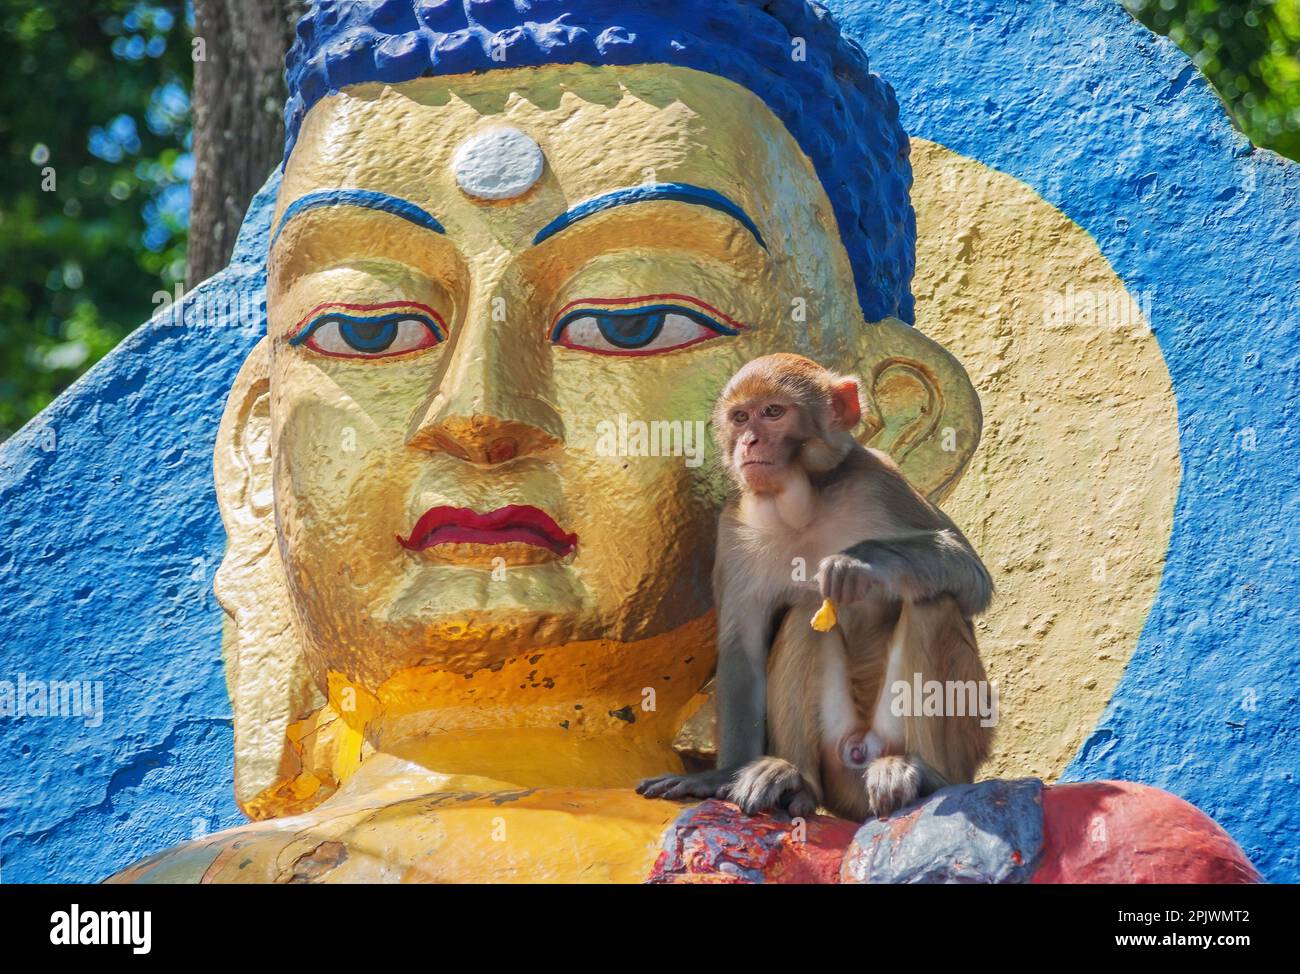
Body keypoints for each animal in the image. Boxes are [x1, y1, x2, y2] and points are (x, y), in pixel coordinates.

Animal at [637, 353, 993, 820]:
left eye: (773, 412)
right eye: (740, 417)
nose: (748, 442)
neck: (802, 507)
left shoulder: (880, 481)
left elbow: (971, 576)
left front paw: (861, 561)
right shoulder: (734, 531)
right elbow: (743, 650)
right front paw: (717, 777)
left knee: (935, 603)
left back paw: (925, 774)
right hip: (835, 760)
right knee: (804, 613)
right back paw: (795, 783)